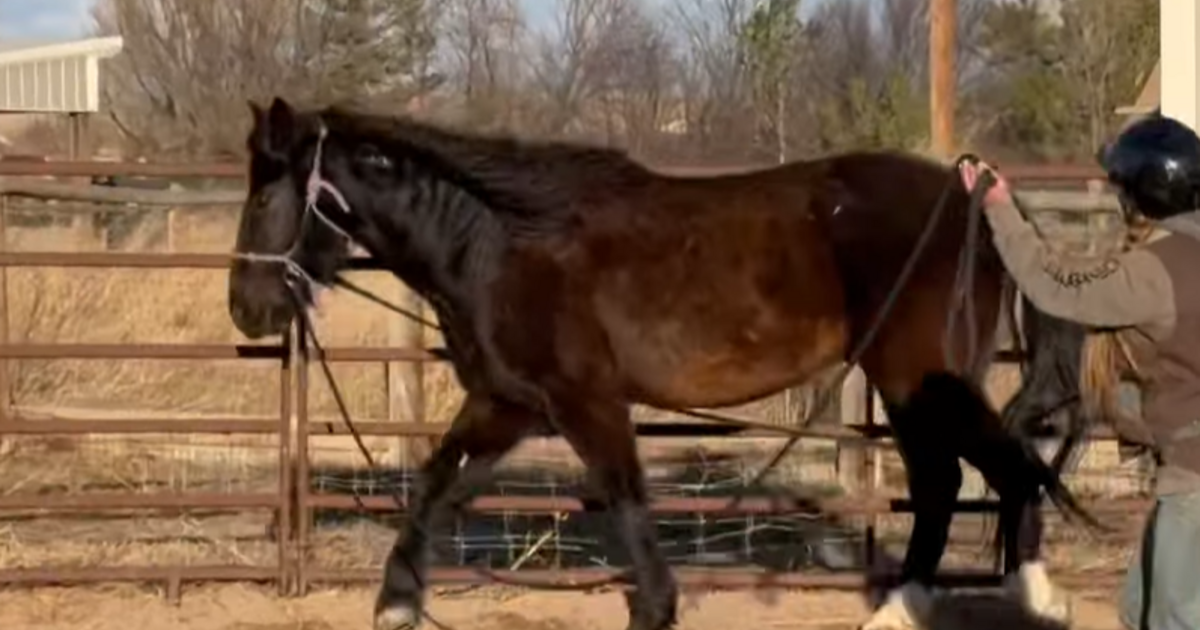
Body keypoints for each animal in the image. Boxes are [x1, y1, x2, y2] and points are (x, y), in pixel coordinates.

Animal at [227, 97, 1102, 630]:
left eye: (266, 197)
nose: (246, 311)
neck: (499, 241)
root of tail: (973, 196)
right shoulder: (510, 400)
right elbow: (439, 479)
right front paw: (397, 601)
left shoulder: (586, 400)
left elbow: (623, 493)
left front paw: (655, 604)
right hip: (913, 385)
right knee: (949, 480)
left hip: (918, 378)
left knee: (987, 472)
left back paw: (1025, 597)